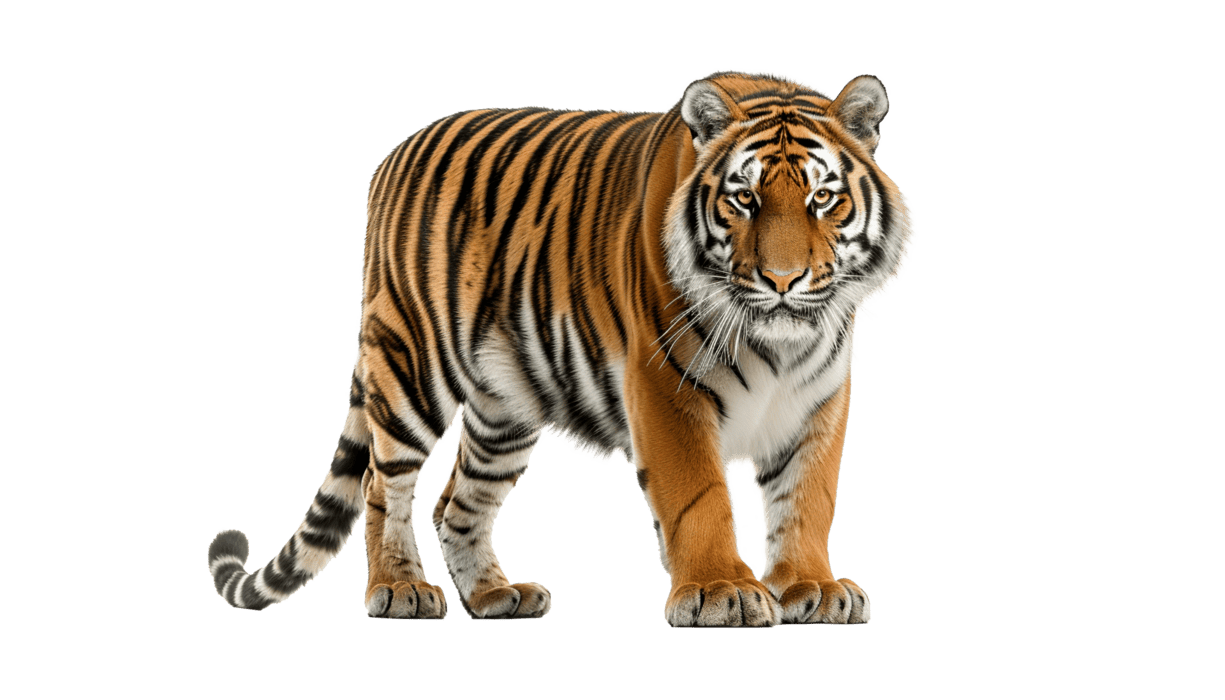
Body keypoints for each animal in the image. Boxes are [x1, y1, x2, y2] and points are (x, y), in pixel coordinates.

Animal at [205, 68, 918, 627]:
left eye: (822, 198)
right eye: (744, 199)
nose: (782, 280)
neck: (781, 344)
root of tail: (395, 153)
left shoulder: (818, 396)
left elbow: (807, 498)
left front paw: (813, 588)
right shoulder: (665, 384)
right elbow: (701, 496)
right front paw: (723, 591)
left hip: (507, 406)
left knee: (457, 502)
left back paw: (495, 596)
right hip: (412, 366)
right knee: (388, 484)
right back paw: (400, 588)